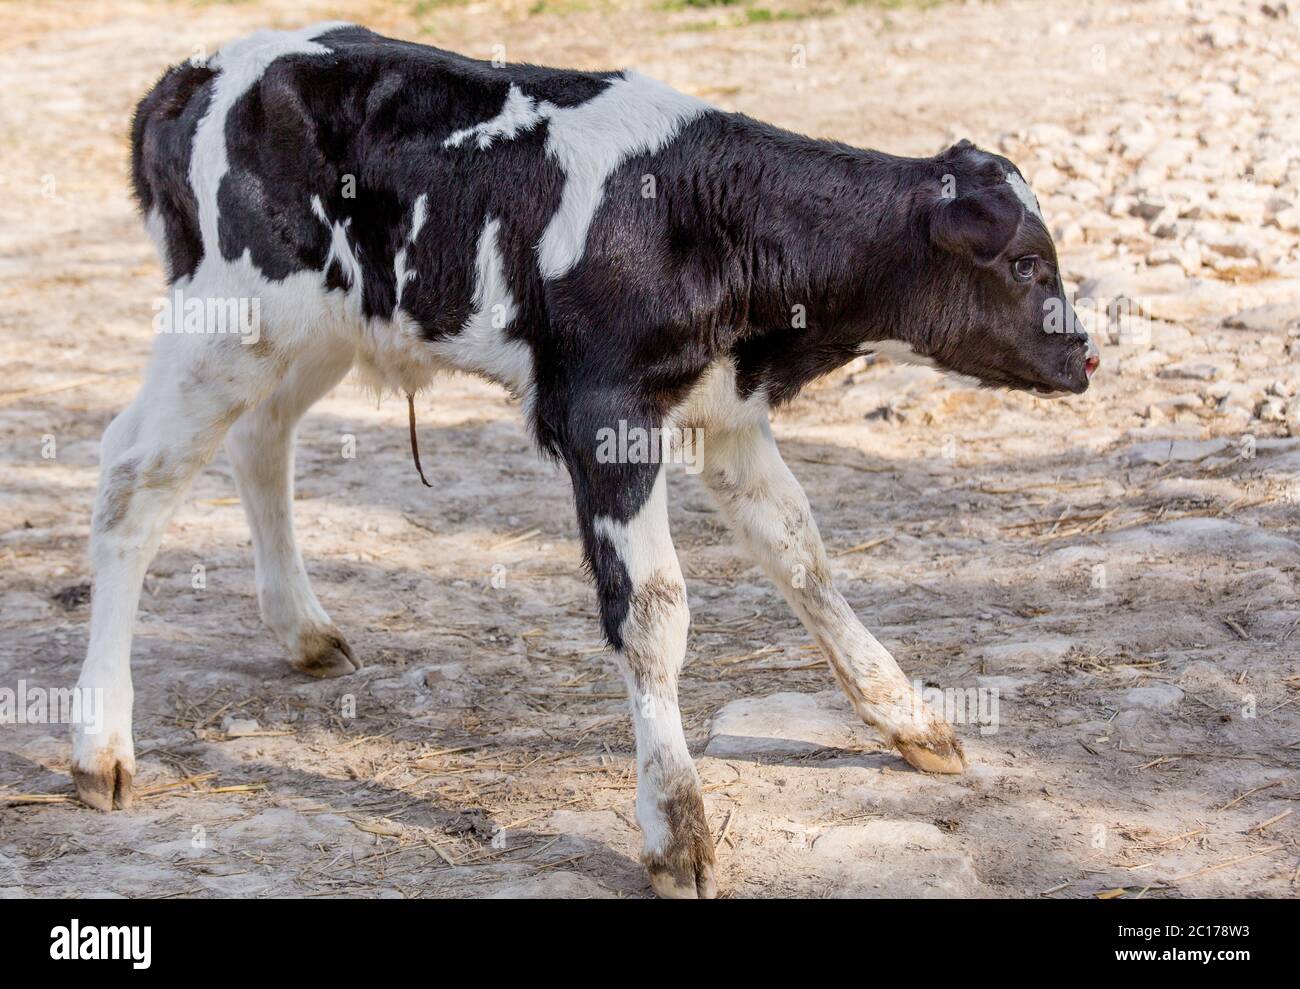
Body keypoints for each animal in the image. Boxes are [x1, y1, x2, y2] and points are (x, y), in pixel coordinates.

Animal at [73, 22, 1099, 898]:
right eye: (1023, 264)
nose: (1086, 355)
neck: (702, 214)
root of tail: (190, 73)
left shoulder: (727, 414)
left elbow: (803, 556)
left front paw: (910, 718)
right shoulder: (602, 418)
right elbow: (653, 611)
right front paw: (677, 829)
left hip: (316, 327)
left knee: (261, 439)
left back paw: (302, 631)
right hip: (227, 320)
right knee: (132, 476)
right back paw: (99, 745)